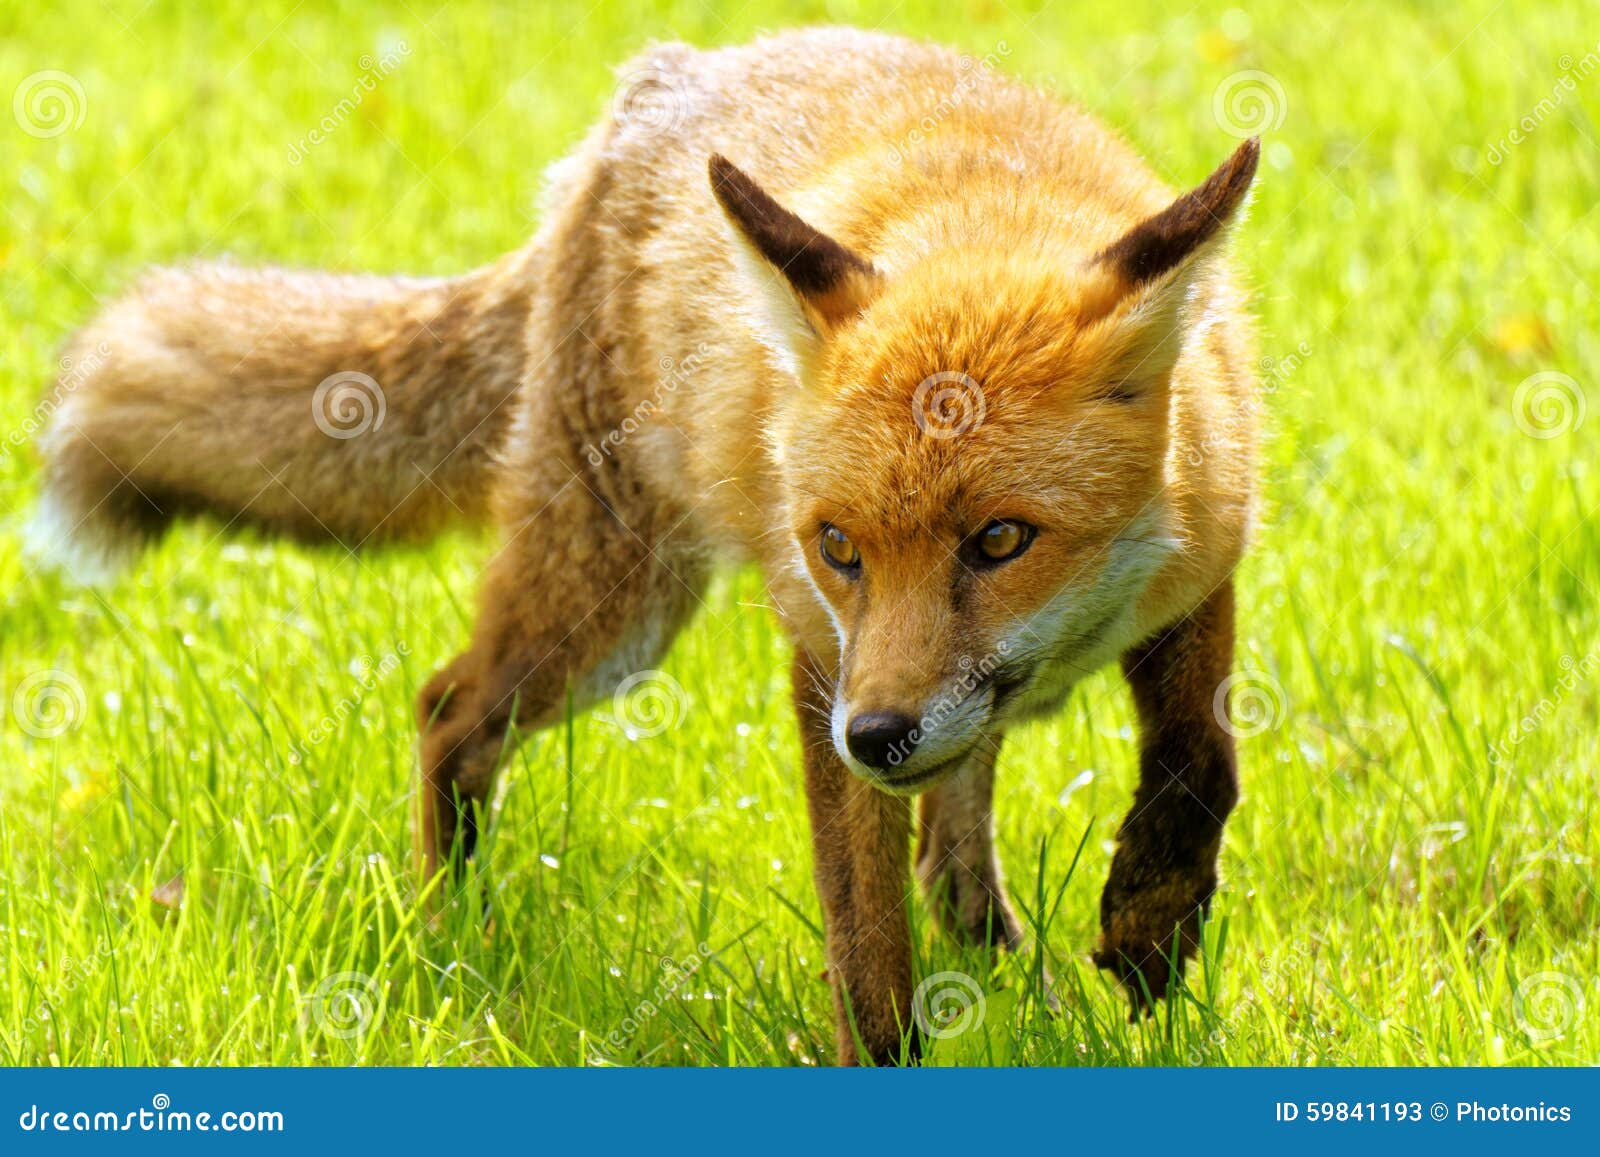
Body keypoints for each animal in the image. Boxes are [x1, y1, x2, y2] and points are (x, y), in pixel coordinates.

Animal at [30, 27, 1260, 1065]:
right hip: (614, 611)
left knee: (952, 839)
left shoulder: (1200, 570)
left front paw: (1149, 925)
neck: (975, 224)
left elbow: (1201, 760)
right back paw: (454, 938)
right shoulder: (823, 654)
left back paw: (1007, 966)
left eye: (1001, 538)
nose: (876, 738)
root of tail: (649, 91)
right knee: (446, 710)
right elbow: (865, 939)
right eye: (837, 546)